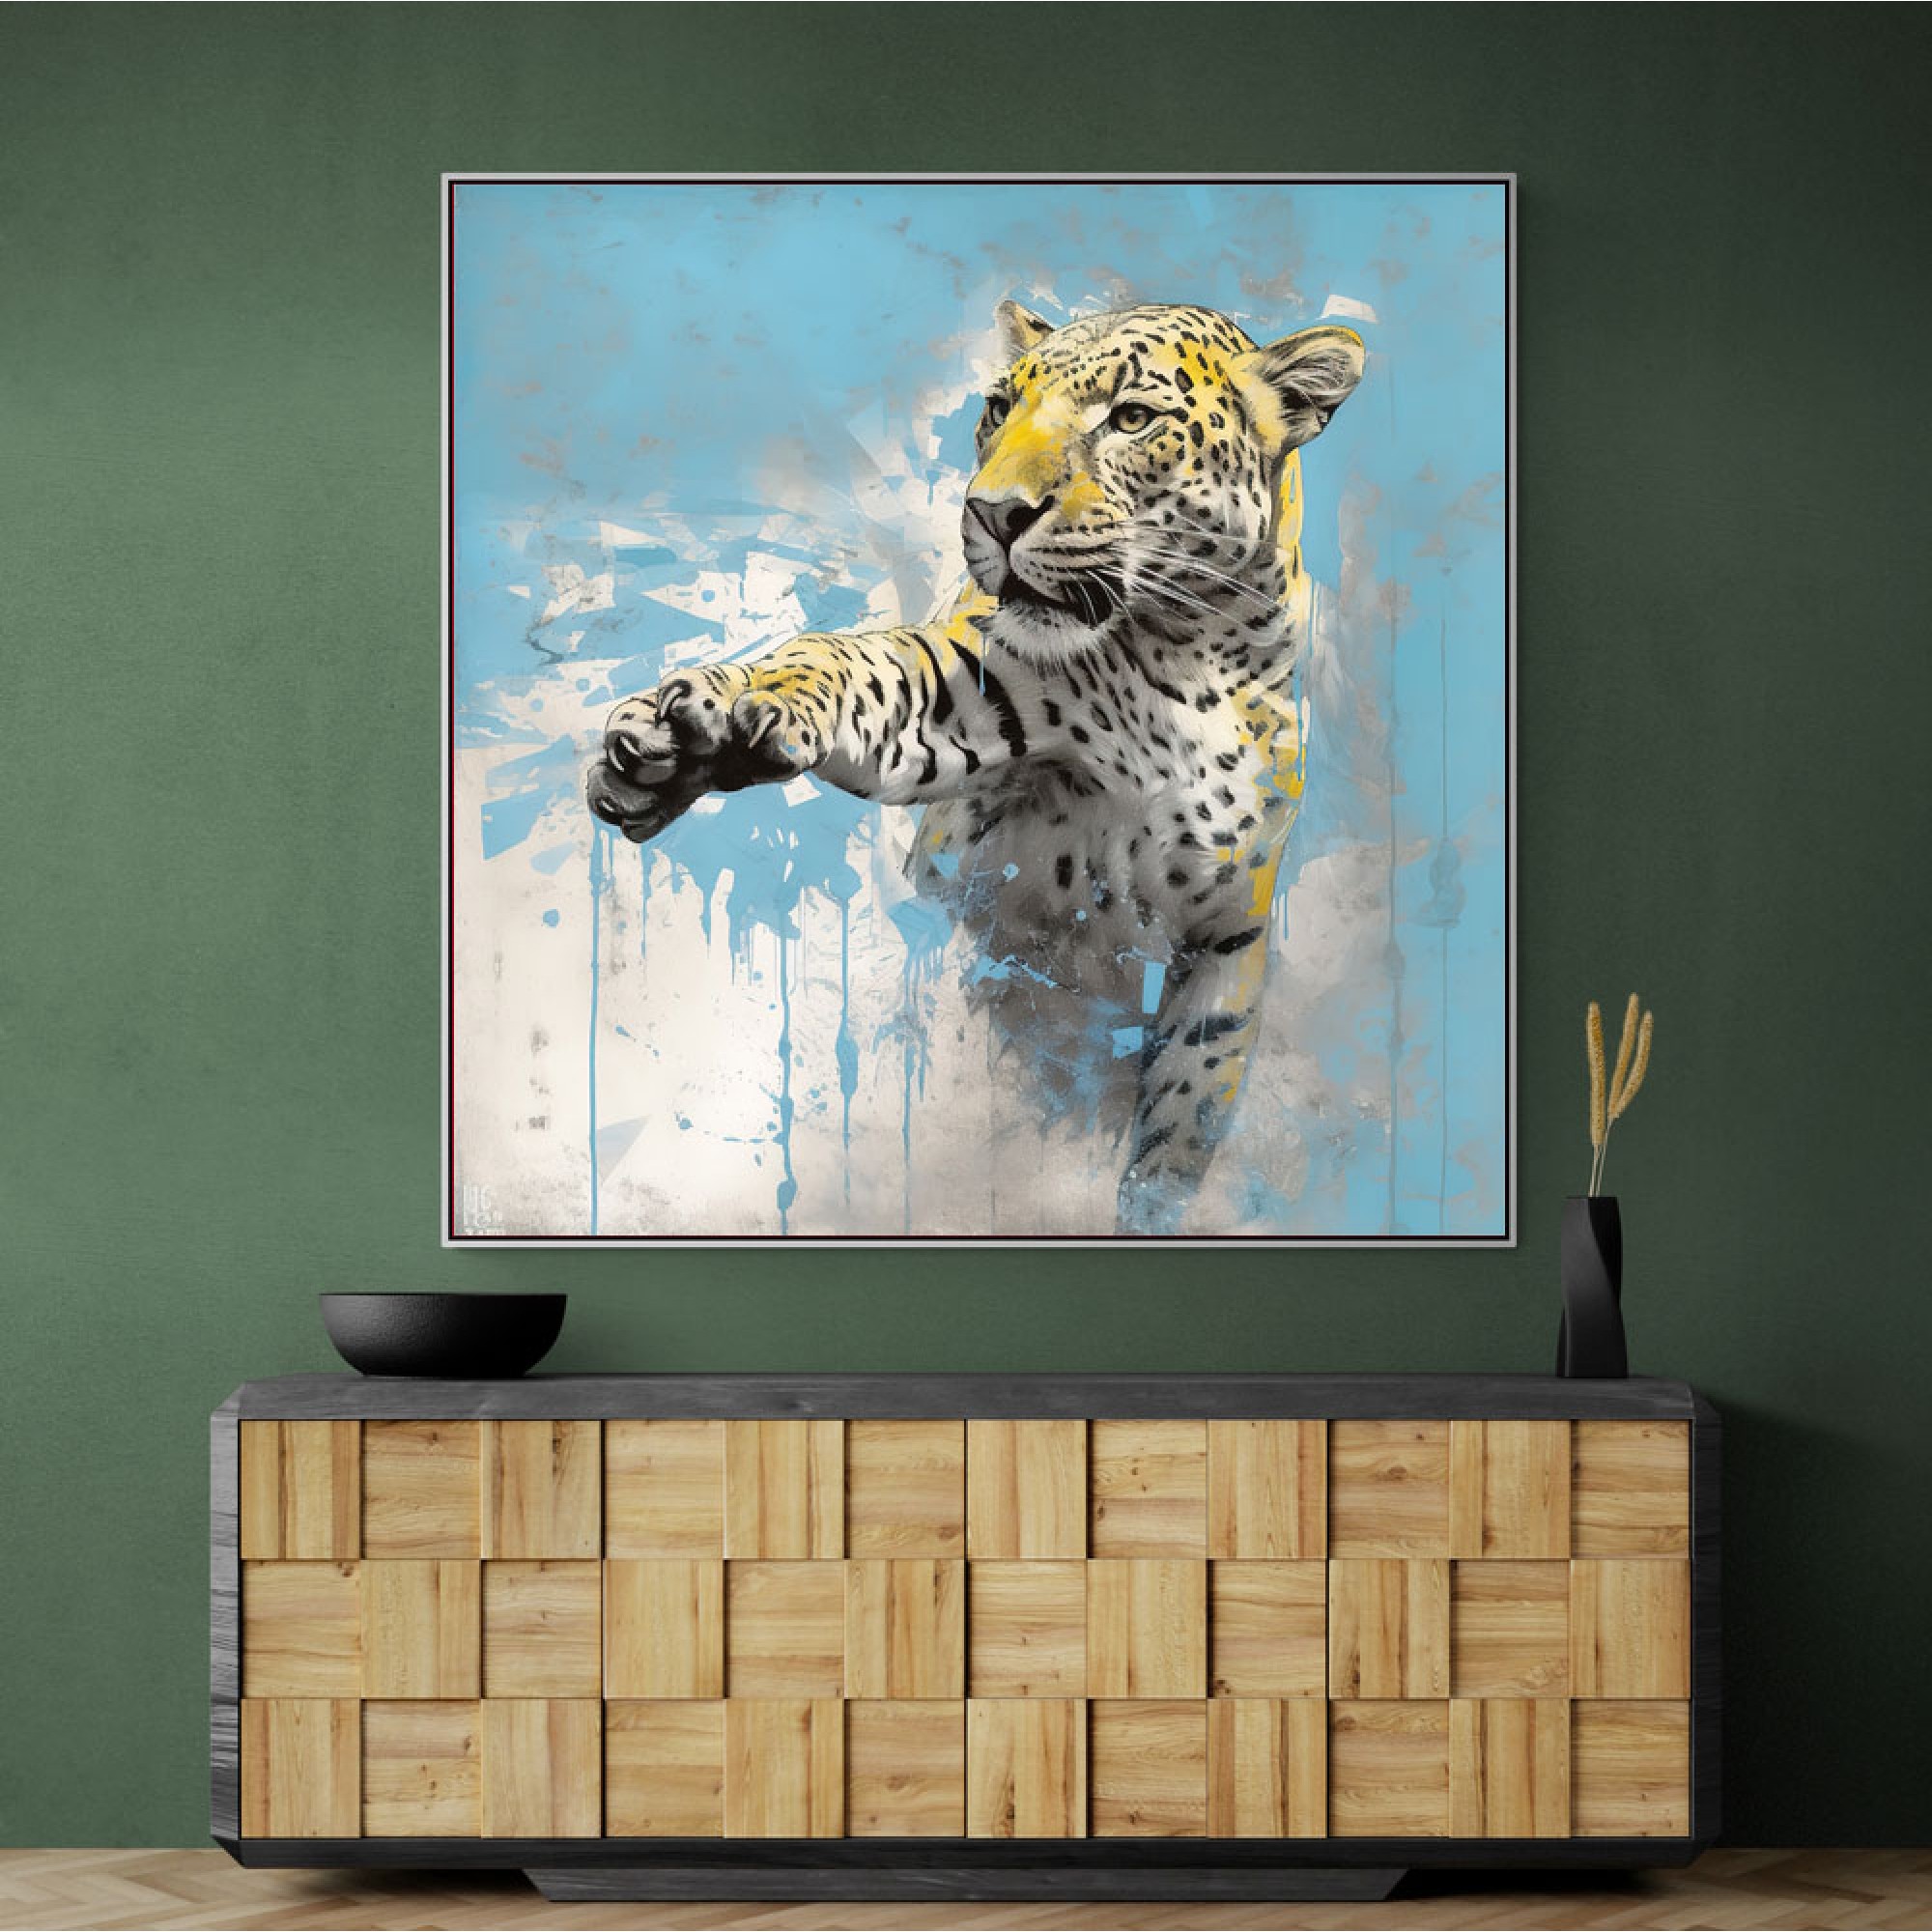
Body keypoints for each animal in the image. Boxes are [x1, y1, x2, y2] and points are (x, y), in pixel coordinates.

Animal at [586, 299, 1365, 1234]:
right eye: (999, 409)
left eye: (1130, 418)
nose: (992, 512)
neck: (1185, 661)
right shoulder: (966, 698)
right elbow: (858, 670)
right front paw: (699, 727)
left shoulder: (1225, 942)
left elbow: (1177, 1124)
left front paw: (1145, 1207)